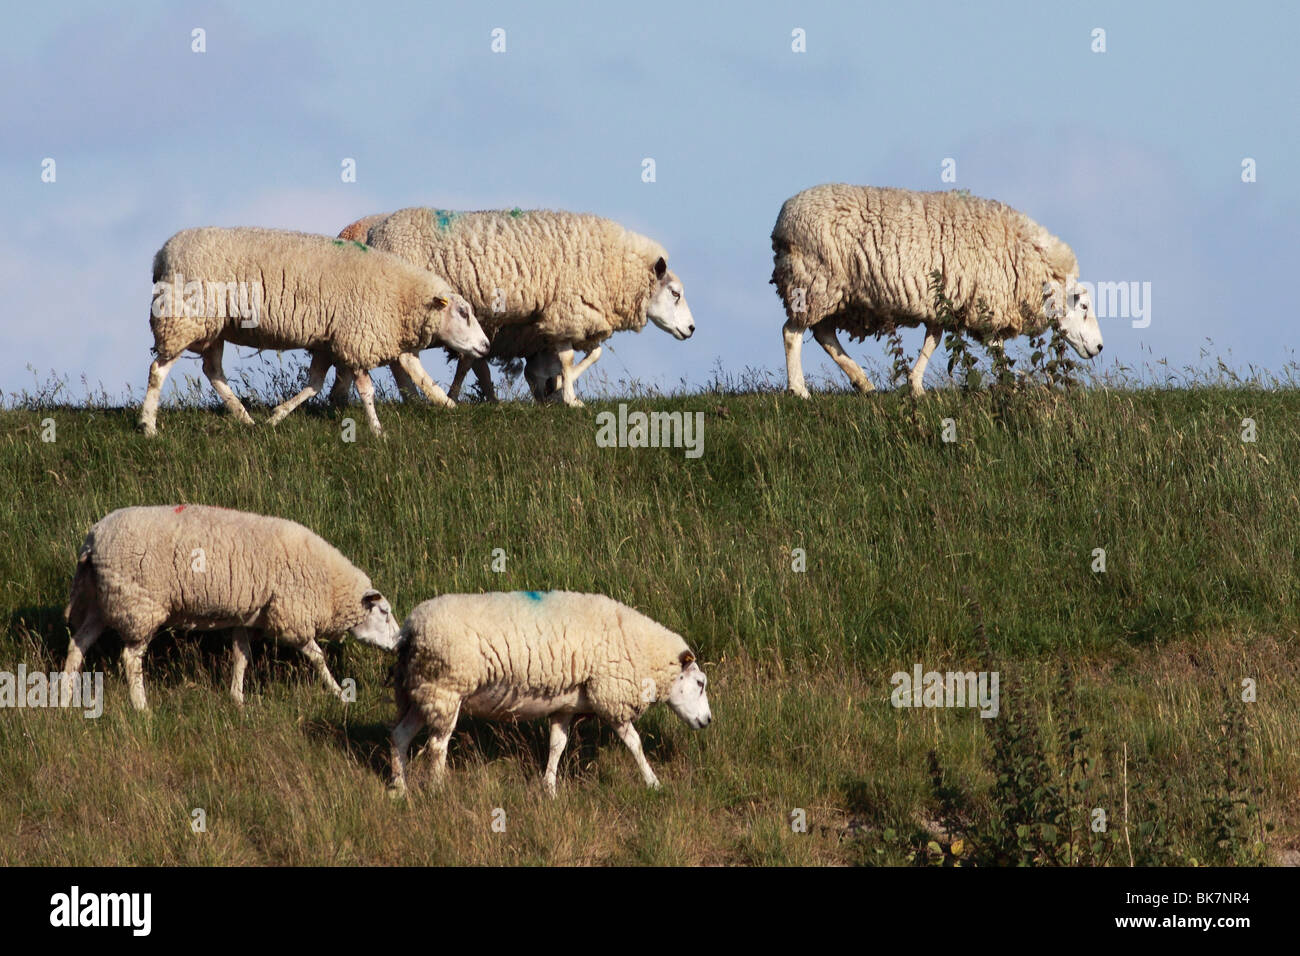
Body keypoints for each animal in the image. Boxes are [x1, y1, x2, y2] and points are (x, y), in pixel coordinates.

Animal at [60, 504, 402, 710]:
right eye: (384, 612)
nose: (400, 643)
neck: (328, 583)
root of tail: (93, 540)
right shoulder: (291, 617)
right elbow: (317, 657)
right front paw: (339, 693)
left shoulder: (246, 615)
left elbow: (242, 657)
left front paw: (237, 698)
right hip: (138, 603)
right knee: (130, 658)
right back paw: (141, 706)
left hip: (102, 601)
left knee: (78, 644)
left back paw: (65, 696)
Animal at [139, 226, 490, 436]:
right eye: (463, 312)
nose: (486, 346)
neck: (401, 297)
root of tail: (161, 256)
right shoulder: (356, 339)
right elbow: (367, 391)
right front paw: (377, 430)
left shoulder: (331, 342)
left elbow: (314, 385)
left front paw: (277, 415)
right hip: (183, 318)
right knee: (158, 370)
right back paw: (149, 426)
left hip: (214, 327)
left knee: (213, 372)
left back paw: (245, 418)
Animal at [329, 208, 696, 407]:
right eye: (675, 293)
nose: (692, 329)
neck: (616, 265)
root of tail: (377, 233)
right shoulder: (566, 310)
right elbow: (574, 357)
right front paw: (569, 396)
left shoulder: (558, 318)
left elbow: (587, 354)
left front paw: (556, 391)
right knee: (404, 358)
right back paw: (433, 399)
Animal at [388, 590, 711, 797]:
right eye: (700, 683)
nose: (707, 721)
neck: (641, 649)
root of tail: (410, 630)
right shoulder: (610, 696)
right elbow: (635, 744)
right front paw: (653, 783)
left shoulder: (566, 705)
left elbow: (557, 745)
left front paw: (549, 789)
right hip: (446, 689)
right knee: (436, 745)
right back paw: (437, 790)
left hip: (422, 692)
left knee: (400, 736)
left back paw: (399, 789)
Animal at [771, 184, 1104, 398]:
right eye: (1084, 307)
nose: (1100, 347)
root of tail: (783, 220)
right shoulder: (983, 304)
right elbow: (995, 348)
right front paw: (1013, 381)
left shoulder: (947, 303)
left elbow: (934, 341)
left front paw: (915, 384)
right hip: (812, 282)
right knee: (792, 333)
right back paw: (799, 389)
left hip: (834, 293)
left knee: (824, 334)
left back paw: (862, 382)